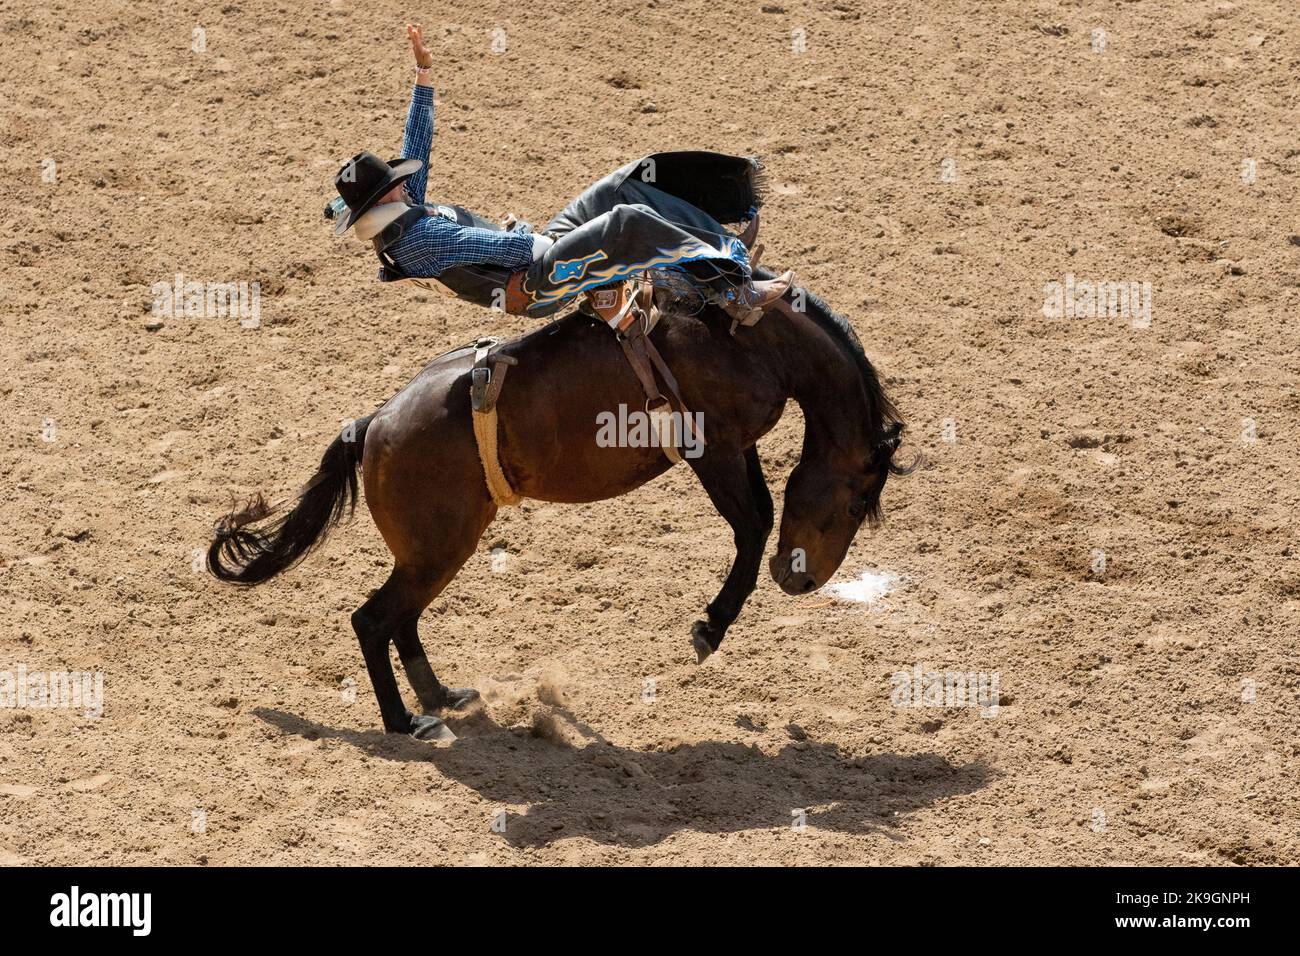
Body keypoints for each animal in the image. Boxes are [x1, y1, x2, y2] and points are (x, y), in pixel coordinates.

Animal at [207, 268, 911, 740]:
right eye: (857, 503)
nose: (803, 581)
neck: (747, 334)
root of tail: (373, 423)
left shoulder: (736, 448)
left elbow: (760, 514)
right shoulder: (711, 448)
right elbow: (755, 523)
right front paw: (709, 628)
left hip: (435, 551)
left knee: (399, 618)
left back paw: (441, 696)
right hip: (437, 549)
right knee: (372, 620)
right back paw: (405, 721)